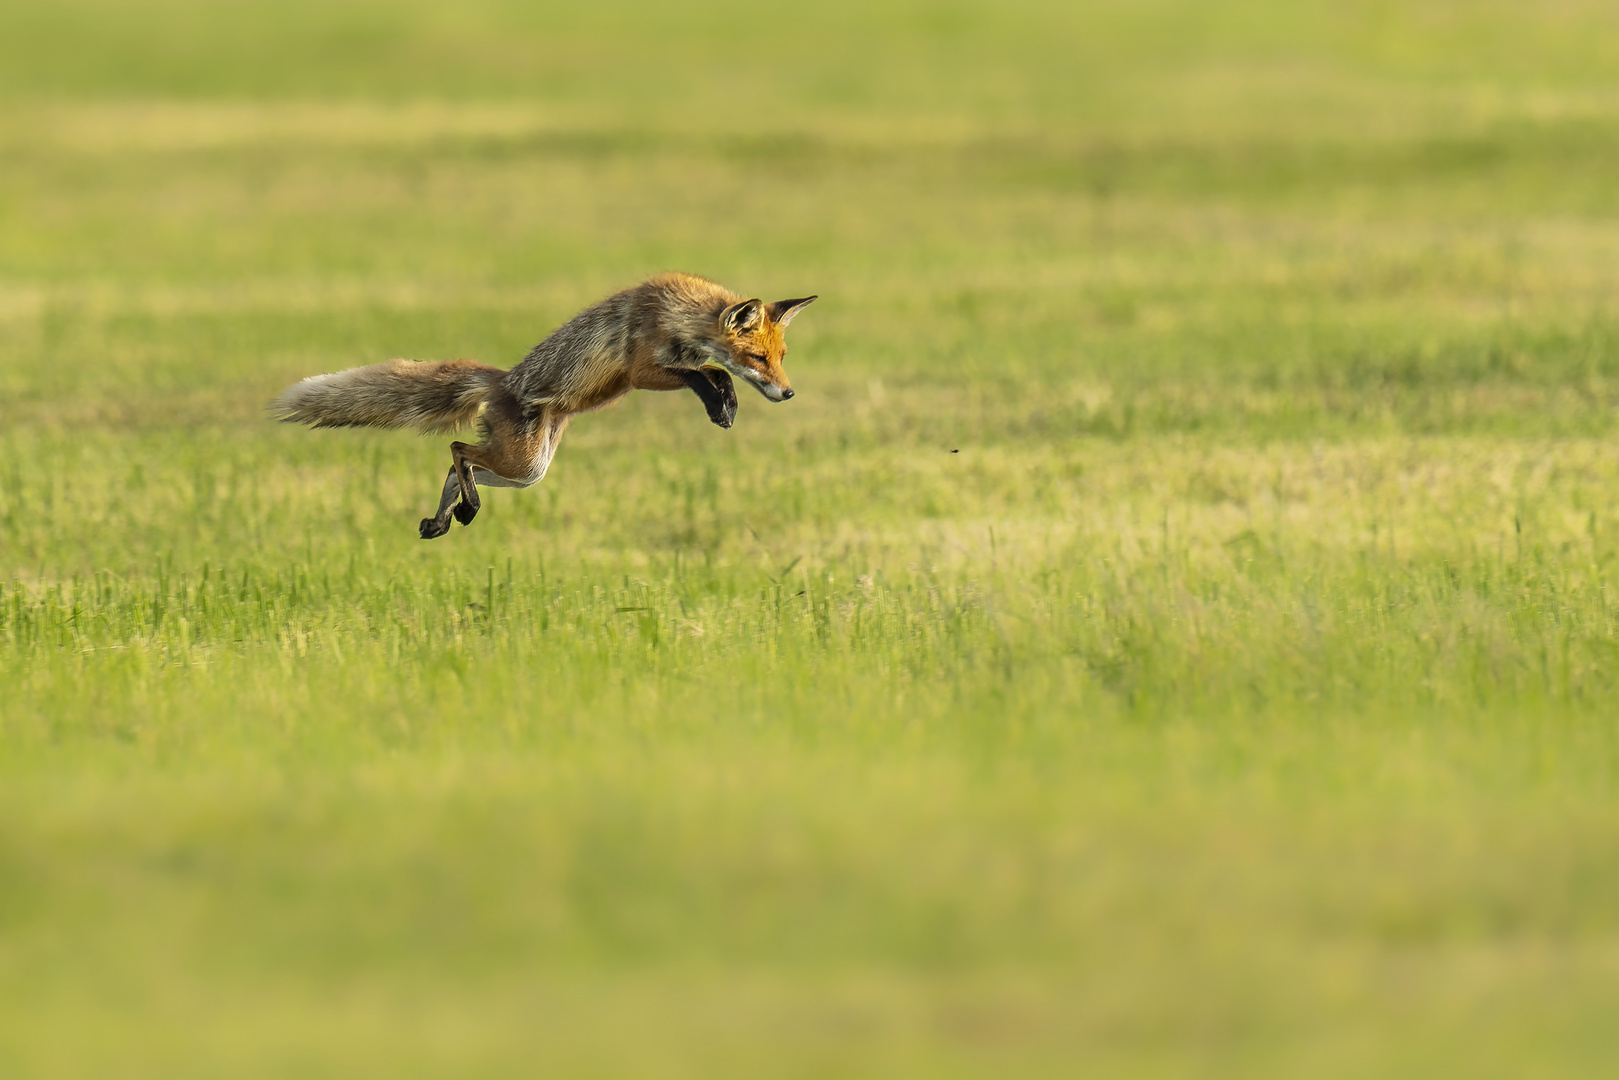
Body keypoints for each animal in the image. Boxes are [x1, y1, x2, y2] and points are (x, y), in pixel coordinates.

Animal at [273, 272, 815, 539]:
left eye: (782, 358)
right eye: (759, 358)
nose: (789, 394)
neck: (678, 316)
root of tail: (500, 381)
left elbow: (712, 372)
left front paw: (726, 407)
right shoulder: (643, 370)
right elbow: (710, 372)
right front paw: (720, 403)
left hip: (530, 469)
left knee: (458, 466)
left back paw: (444, 519)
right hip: (522, 460)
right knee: (457, 449)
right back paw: (466, 508)